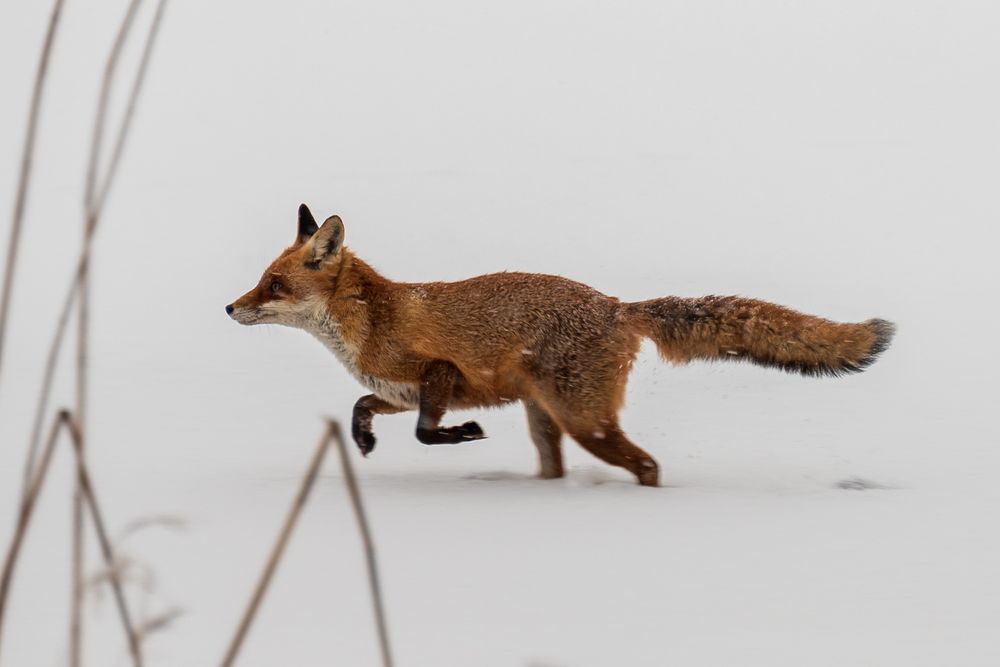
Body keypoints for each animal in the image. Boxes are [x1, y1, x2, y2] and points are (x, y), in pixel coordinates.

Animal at [227, 204, 895, 486]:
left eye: (274, 285)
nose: (230, 307)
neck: (371, 321)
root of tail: (617, 305)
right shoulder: (396, 389)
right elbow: (362, 407)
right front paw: (363, 440)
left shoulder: (438, 373)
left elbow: (424, 433)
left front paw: (463, 436)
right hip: (545, 420)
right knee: (556, 469)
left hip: (582, 419)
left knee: (647, 465)